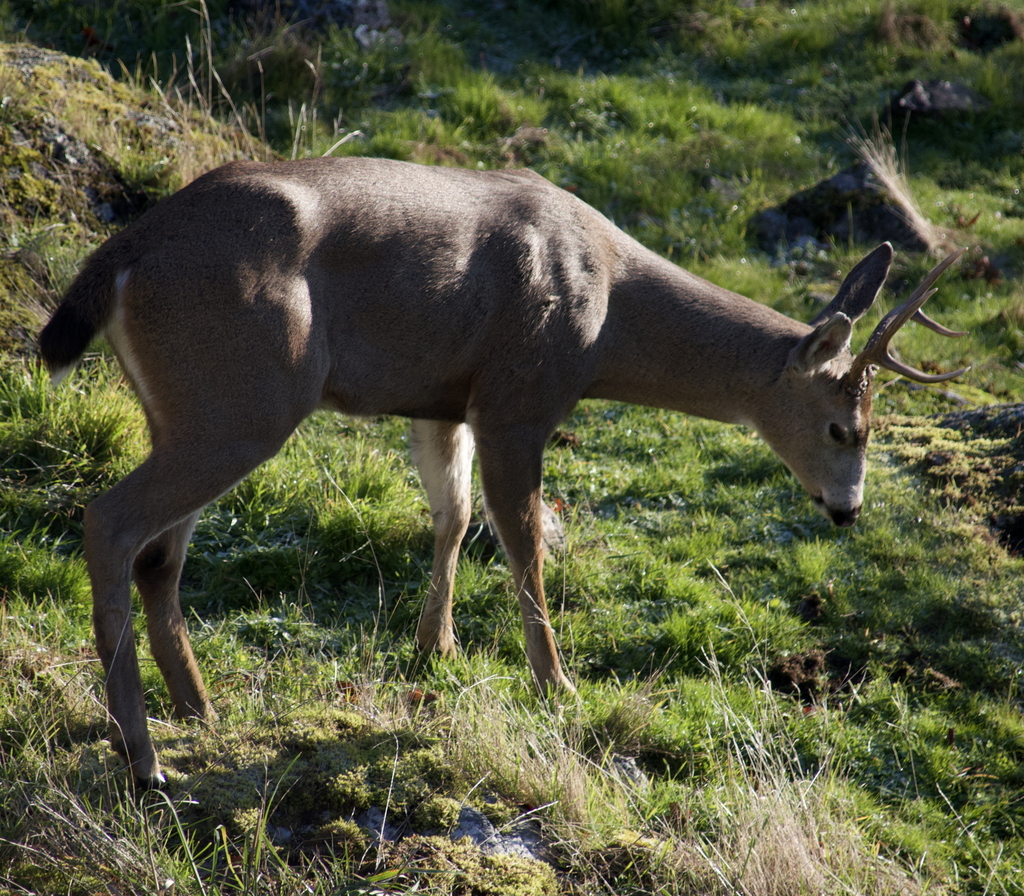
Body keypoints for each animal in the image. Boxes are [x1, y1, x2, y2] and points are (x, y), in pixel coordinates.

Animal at [38, 156, 967, 786]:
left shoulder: (444, 400)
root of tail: (122, 253)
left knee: (161, 553)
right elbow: (523, 540)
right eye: (845, 427)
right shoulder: (519, 397)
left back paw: (196, 707)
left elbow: (450, 513)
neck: (610, 317)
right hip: (244, 396)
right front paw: (556, 681)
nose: (846, 510)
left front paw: (434, 646)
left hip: (195, 405)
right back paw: (142, 754)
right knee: (111, 520)